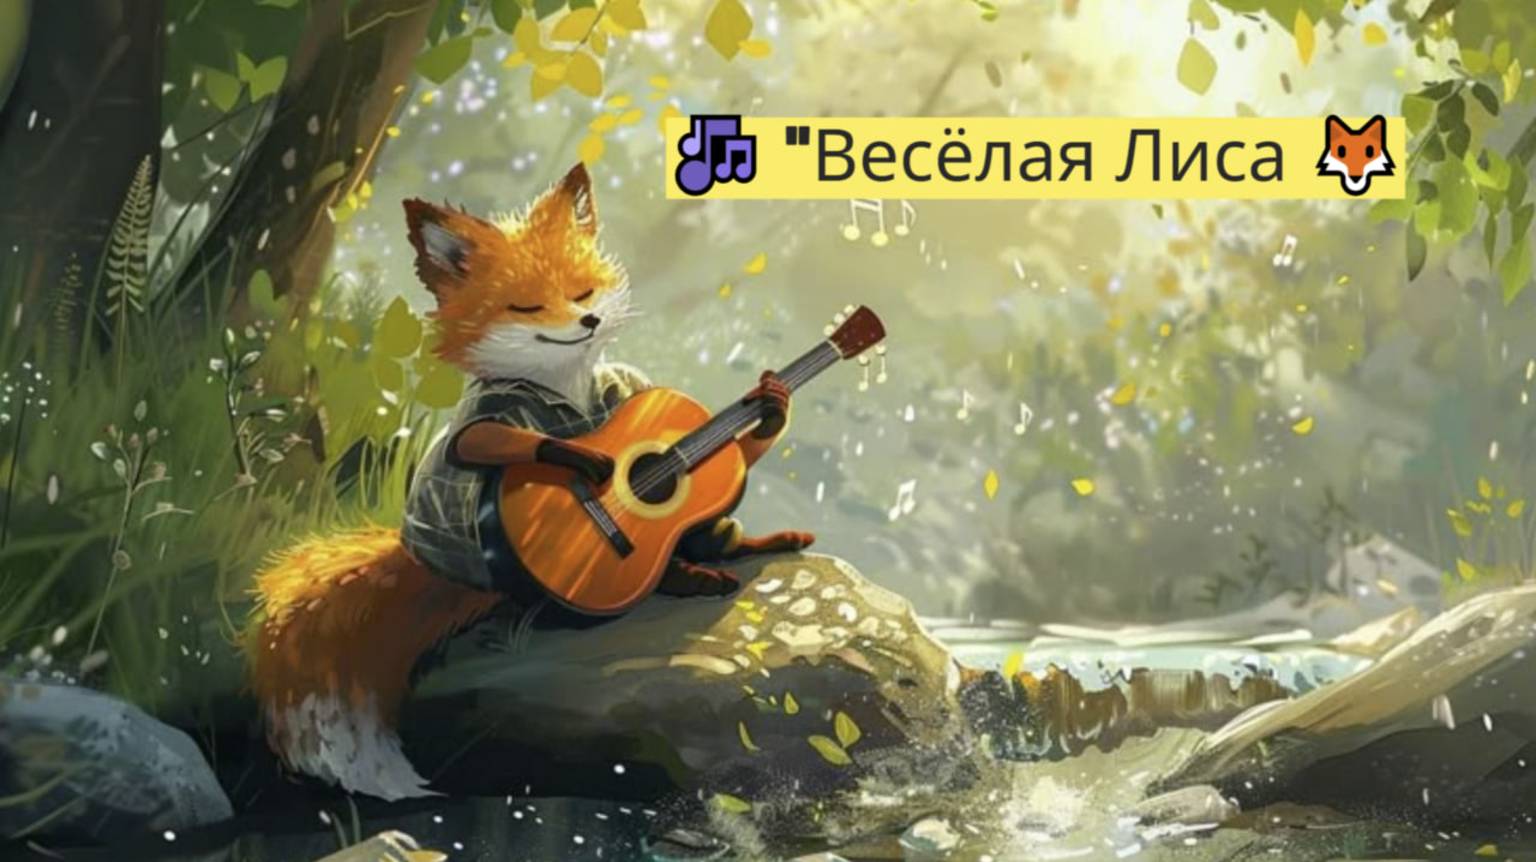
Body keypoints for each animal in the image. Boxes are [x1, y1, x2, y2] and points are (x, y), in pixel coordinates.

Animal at [247, 164, 812, 800]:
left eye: (584, 292)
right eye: (528, 304)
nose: (588, 321)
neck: (566, 384)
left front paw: (772, 407)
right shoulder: (491, 408)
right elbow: (480, 436)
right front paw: (580, 462)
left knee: (713, 535)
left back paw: (756, 546)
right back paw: (688, 577)